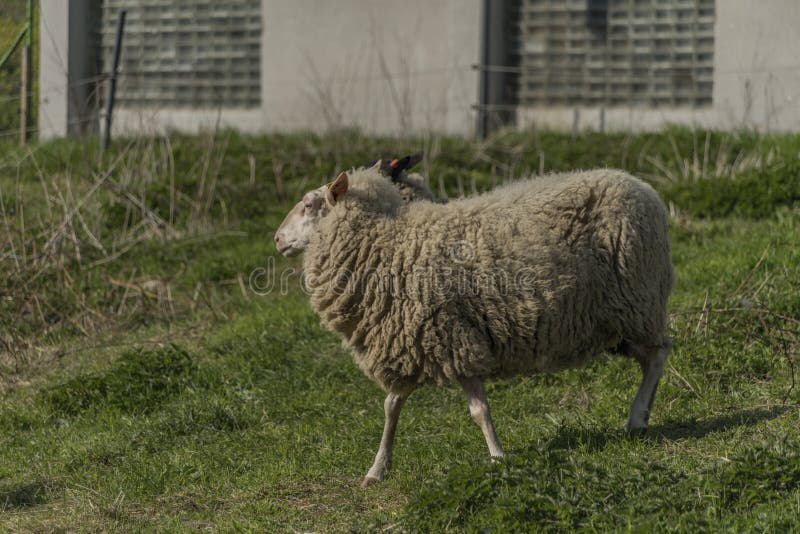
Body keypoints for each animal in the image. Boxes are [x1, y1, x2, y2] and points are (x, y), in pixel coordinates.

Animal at [274, 164, 674, 487]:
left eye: (309, 204)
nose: (277, 238)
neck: (388, 241)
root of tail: (645, 189)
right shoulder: (409, 340)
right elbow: (391, 406)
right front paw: (377, 469)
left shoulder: (452, 337)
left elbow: (478, 411)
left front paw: (498, 458)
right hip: (613, 321)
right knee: (652, 357)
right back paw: (643, 415)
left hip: (636, 302)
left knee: (658, 355)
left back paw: (637, 416)